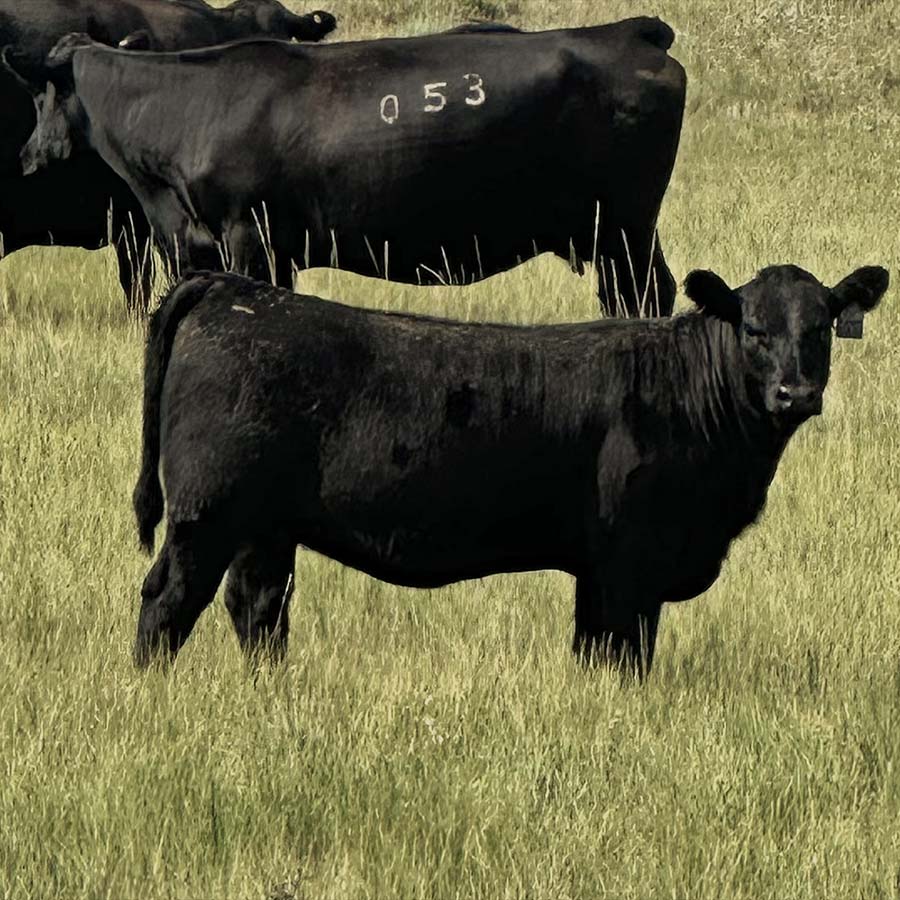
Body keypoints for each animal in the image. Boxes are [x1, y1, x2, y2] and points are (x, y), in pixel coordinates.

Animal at [18, 17, 687, 317]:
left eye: (39, 94)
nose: (26, 156)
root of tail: (628, 30)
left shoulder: (252, 239)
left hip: (623, 227)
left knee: (643, 296)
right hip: (620, 233)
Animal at [130, 263, 888, 675]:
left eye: (822, 327)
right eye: (754, 330)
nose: (796, 393)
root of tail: (234, 290)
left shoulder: (598, 570)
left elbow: (592, 649)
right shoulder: (629, 563)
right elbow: (623, 655)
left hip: (264, 526)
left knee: (257, 607)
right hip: (205, 514)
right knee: (168, 601)